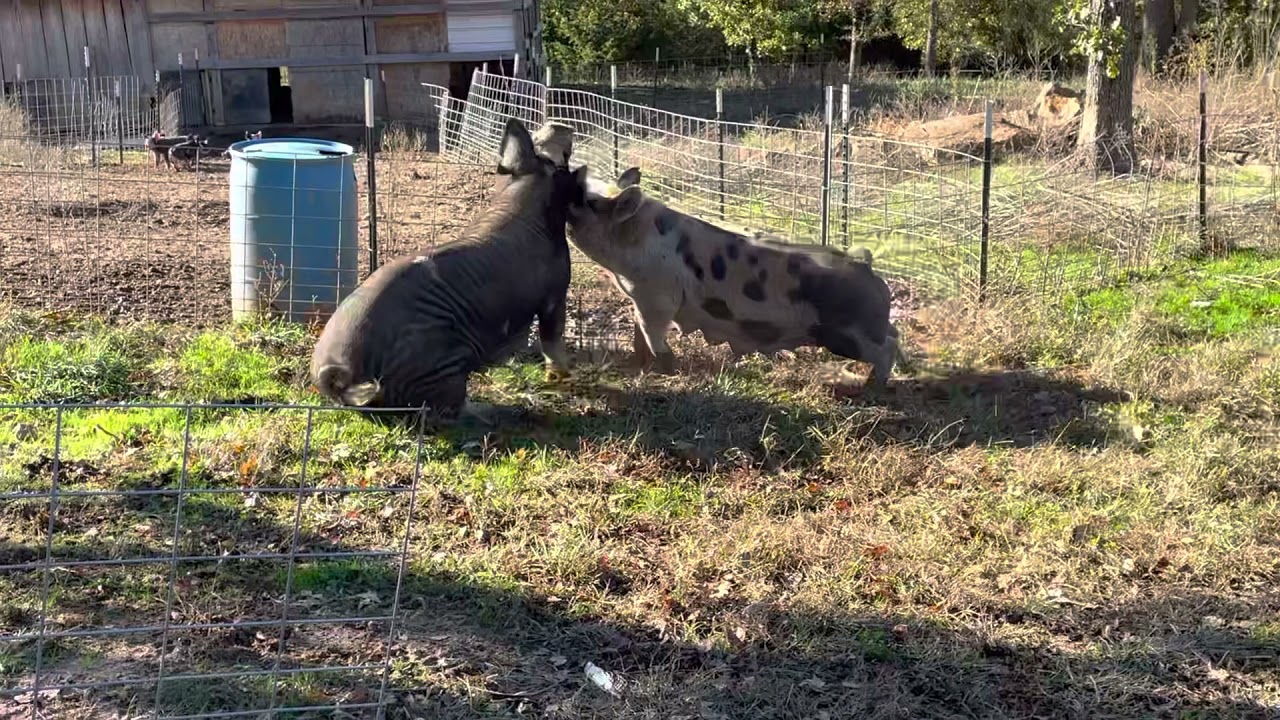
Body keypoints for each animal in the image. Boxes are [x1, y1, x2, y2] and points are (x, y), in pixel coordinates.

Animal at [308, 117, 588, 426]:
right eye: (555, 160)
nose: (559, 123)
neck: (526, 199)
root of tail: (342, 375)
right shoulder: (555, 293)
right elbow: (552, 341)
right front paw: (564, 377)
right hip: (446, 362)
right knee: (447, 413)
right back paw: (505, 413)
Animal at [562, 166, 902, 388]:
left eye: (591, 202)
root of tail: (865, 265)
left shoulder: (657, 297)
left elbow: (653, 333)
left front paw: (666, 369)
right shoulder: (637, 297)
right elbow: (639, 331)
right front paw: (642, 364)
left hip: (847, 334)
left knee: (885, 348)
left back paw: (872, 387)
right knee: (895, 337)